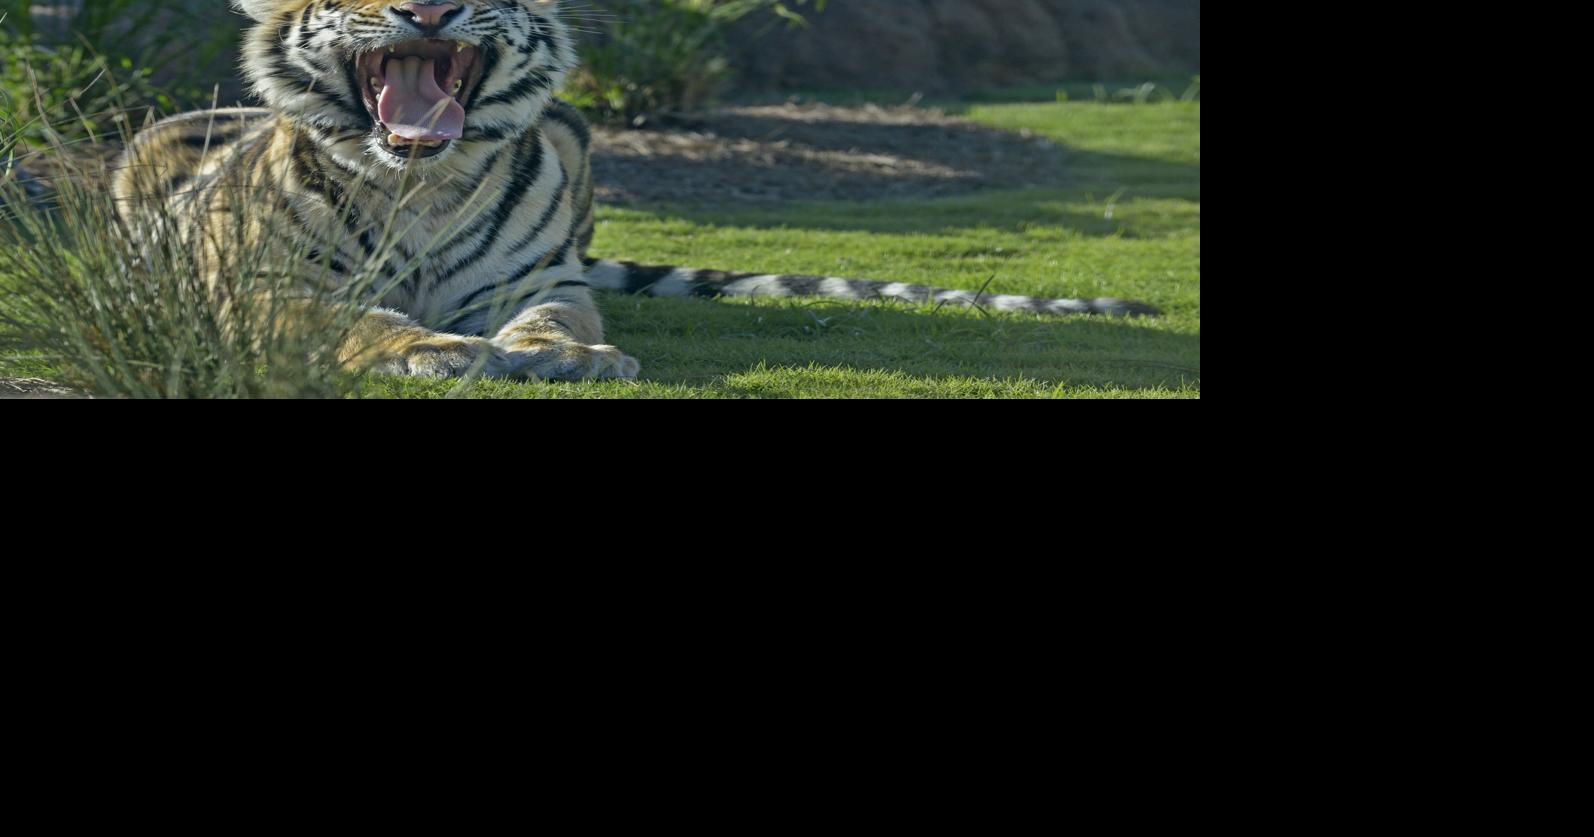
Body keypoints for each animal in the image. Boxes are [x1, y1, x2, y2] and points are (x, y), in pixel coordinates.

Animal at [110, 0, 1157, 381]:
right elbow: (357, 318)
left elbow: (556, 319)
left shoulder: (541, 280)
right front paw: (430, 350)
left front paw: (564, 358)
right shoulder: (269, 286)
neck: (425, 183)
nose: (429, 9)